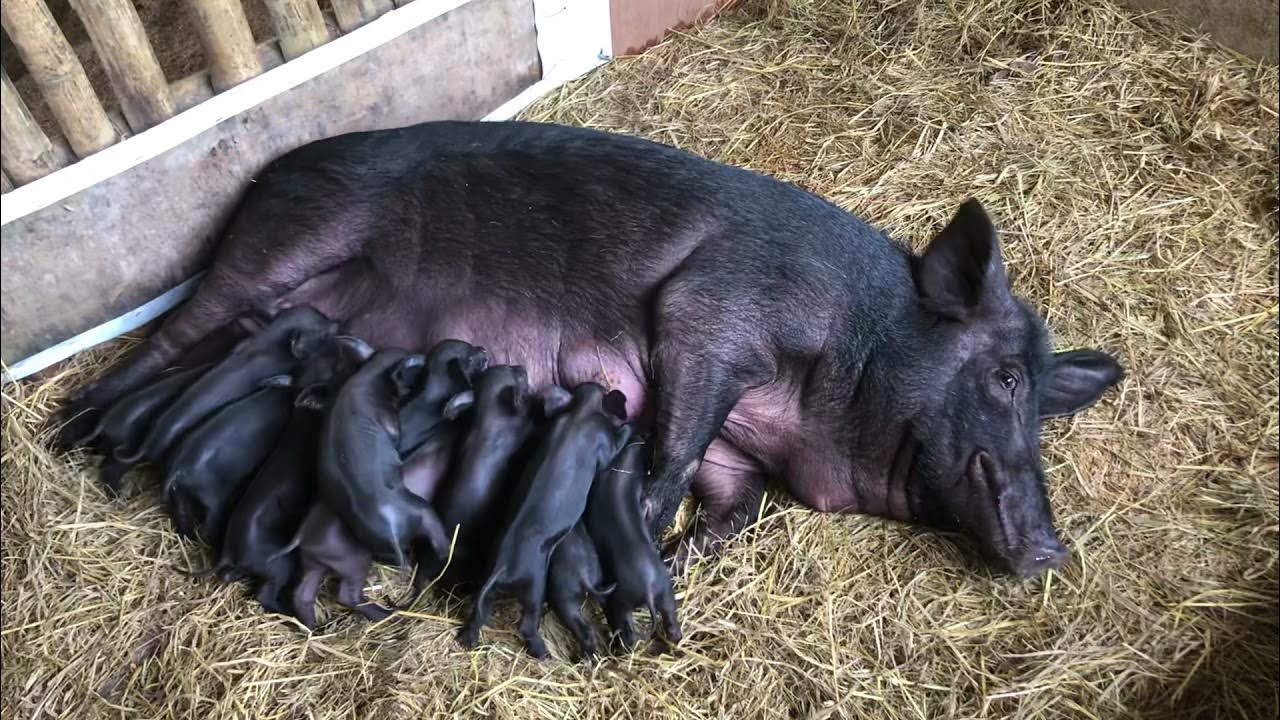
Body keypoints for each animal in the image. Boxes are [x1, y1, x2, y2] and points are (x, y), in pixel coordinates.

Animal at [162, 376, 294, 545]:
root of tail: (178, 468)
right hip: (212, 499)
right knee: (208, 527)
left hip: (179, 496)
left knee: (184, 518)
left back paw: (189, 538)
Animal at [314, 349, 449, 569]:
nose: (421, 356)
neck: (368, 375)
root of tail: (391, 533)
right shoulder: (390, 423)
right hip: (423, 510)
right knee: (440, 544)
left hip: (378, 546)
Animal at [458, 382, 631, 659]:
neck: (580, 413)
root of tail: (502, 568)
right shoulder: (602, 443)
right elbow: (610, 454)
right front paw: (628, 428)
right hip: (534, 587)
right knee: (530, 624)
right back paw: (547, 654)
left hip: (489, 588)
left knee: (479, 614)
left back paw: (467, 641)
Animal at [584, 438, 681, 649]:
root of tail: (648, 590)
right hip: (666, 592)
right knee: (672, 620)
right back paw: (675, 640)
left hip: (622, 600)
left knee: (626, 629)